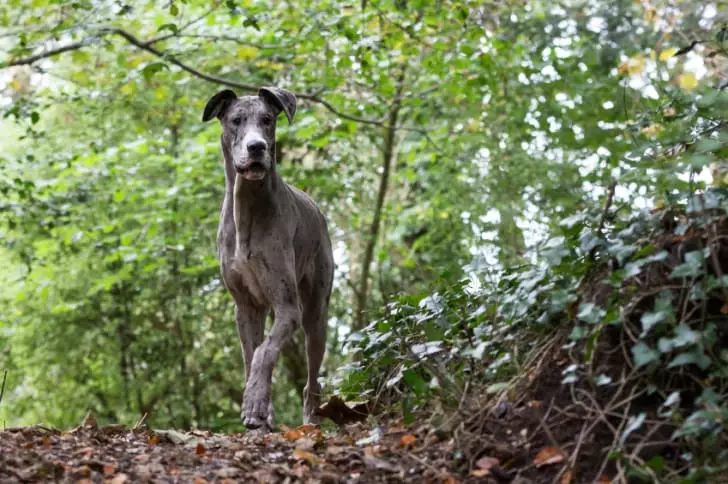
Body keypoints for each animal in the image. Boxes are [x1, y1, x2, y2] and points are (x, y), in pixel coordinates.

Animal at [202, 88, 332, 432]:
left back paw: (310, 419)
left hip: (316, 315)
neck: (248, 205)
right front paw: (260, 408)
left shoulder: (288, 308)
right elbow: (252, 357)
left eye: (268, 119)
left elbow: (264, 352)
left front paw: (255, 403)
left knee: (311, 380)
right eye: (236, 120)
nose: (256, 146)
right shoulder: (246, 309)